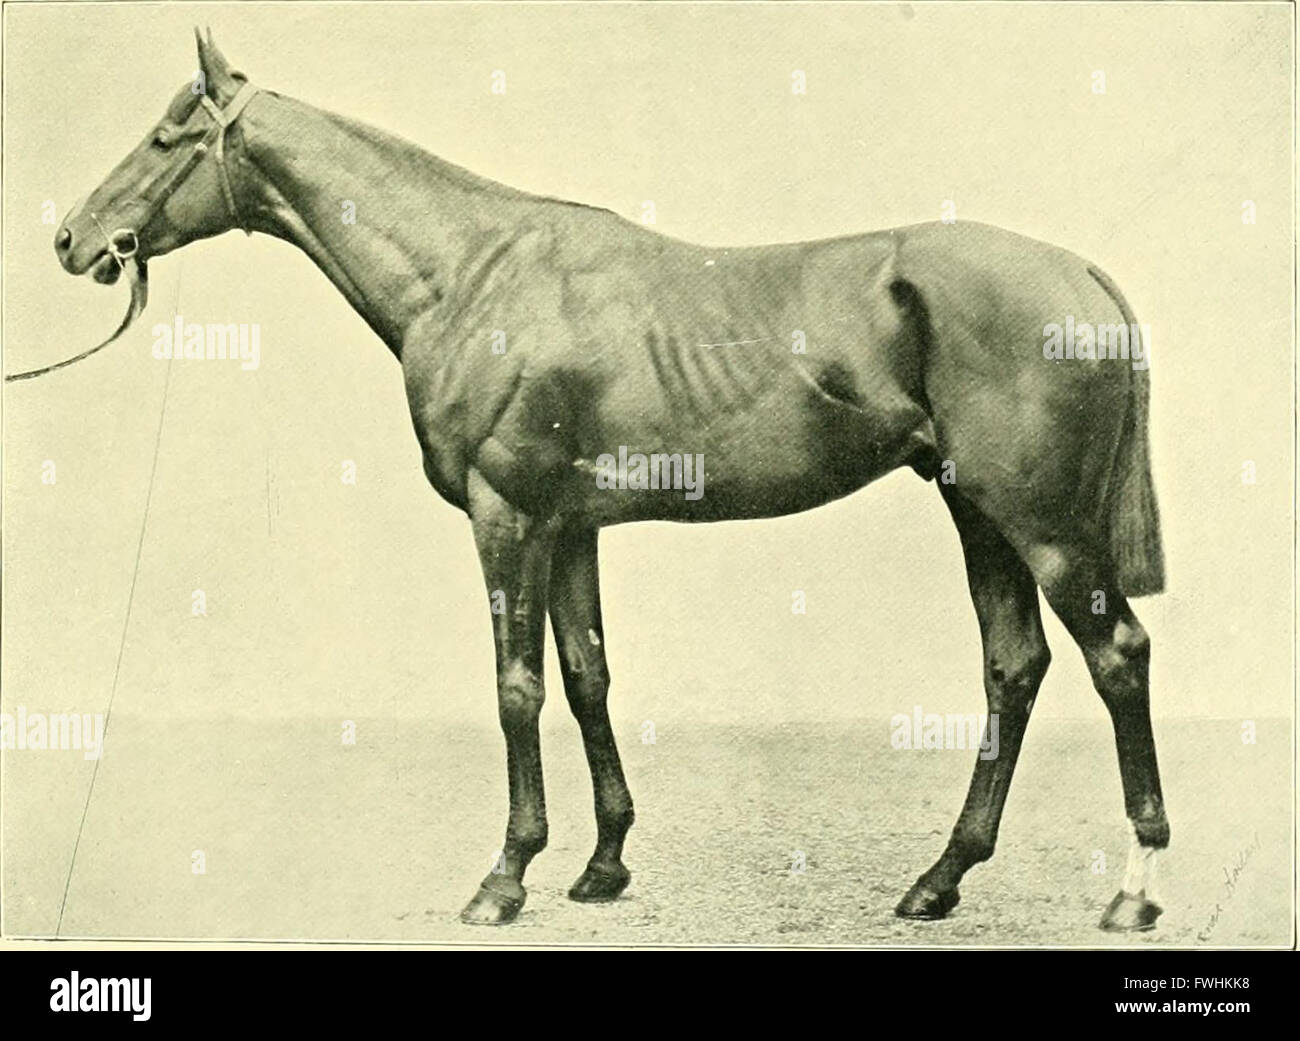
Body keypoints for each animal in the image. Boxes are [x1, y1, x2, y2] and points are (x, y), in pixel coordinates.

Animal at [40, 31, 1169, 932]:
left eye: (165, 139)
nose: (70, 239)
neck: (474, 275)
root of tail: (1082, 277)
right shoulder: (569, 525)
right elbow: (586, 678)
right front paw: (603, 864)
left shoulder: (505, 518)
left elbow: (516, 689)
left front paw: (503, 877)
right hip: (976, 509)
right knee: (1013, 666)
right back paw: (938, 880)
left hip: (1045, 527)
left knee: (1116, 656)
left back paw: (1133, 890)